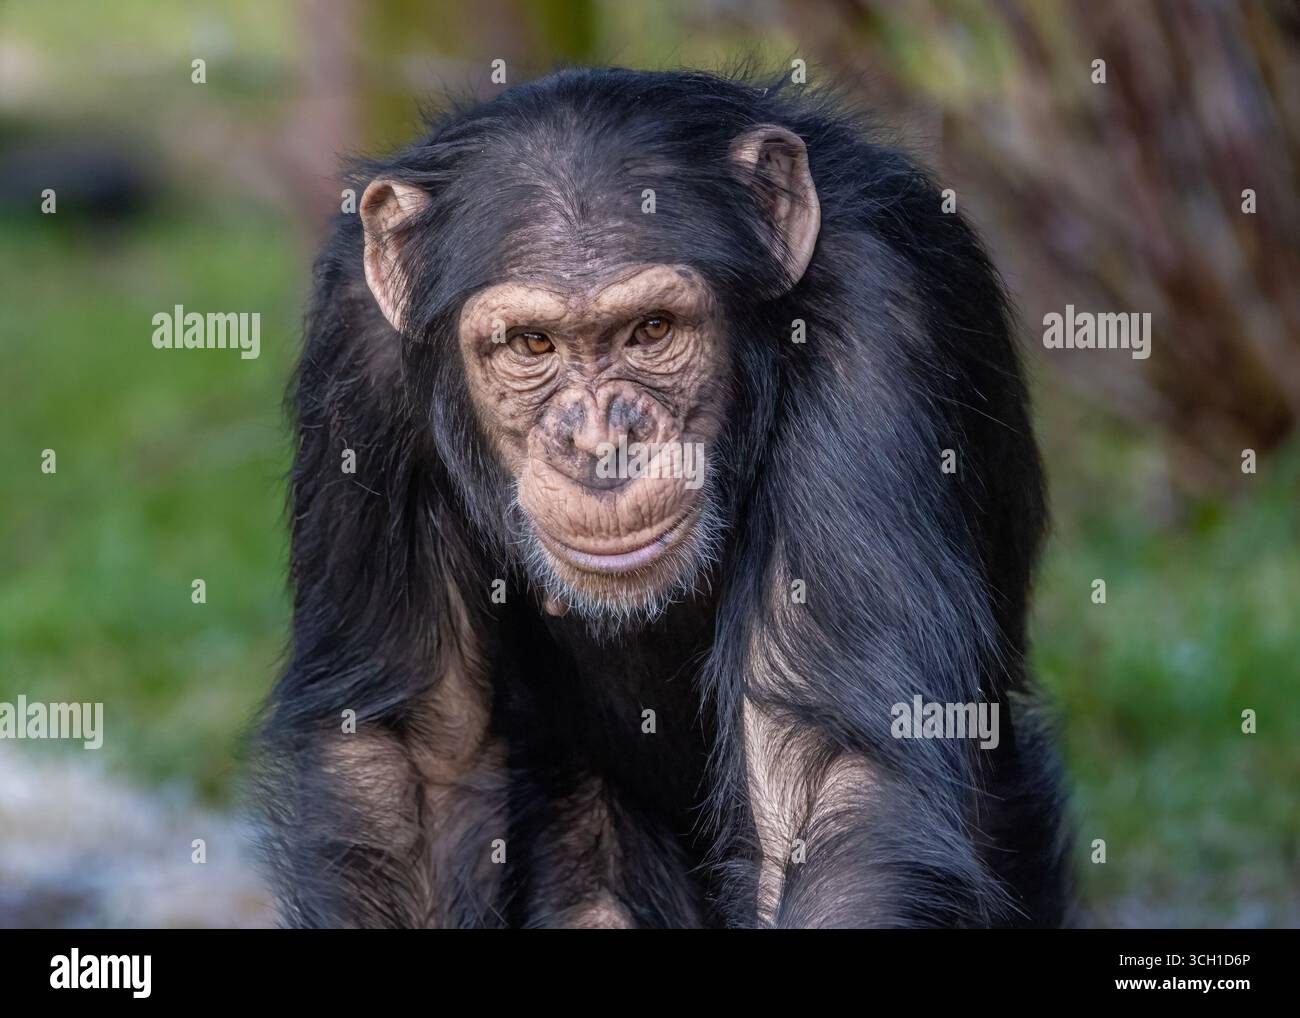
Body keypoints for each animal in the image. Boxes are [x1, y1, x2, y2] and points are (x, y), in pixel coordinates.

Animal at [254, 67, 1071, 928]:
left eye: (652, 329)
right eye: (530, 344)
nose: (601, 441)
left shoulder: (884, 310)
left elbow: (821, 775)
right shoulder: (358, 345)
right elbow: (411, 756)